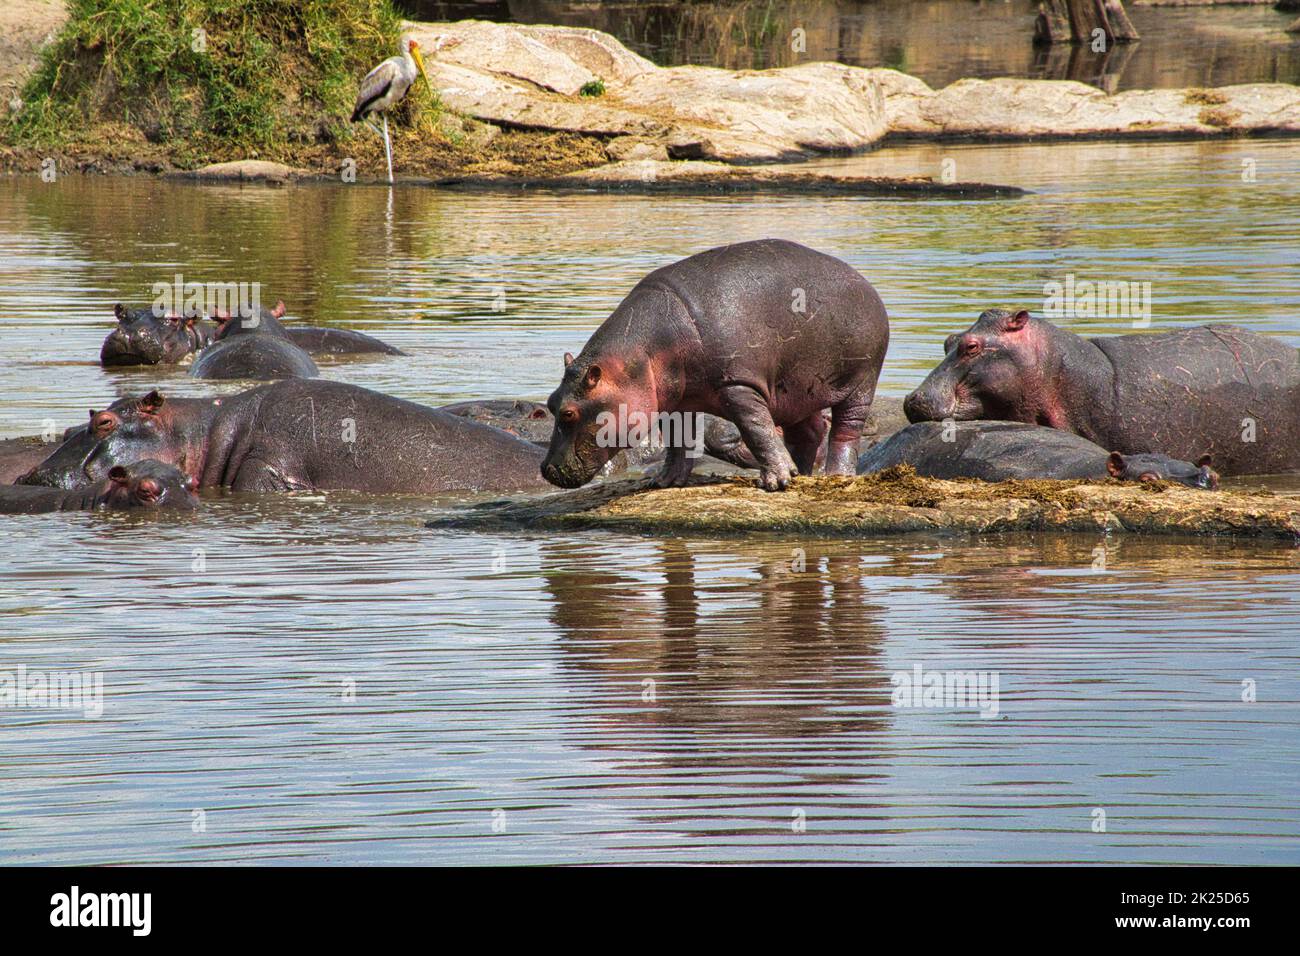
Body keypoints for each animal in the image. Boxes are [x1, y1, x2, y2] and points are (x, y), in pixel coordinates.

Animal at [542, 239, 890, 491]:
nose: (546, 470)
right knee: (809, 431)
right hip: (797, 388)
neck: (639, 356)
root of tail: (866, 283)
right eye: (550, 402)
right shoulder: (677, 401)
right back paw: (801, 474)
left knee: (846, 430)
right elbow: (677, 441)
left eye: (568, 413)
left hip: (861, 381)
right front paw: (663, 482)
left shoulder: (738, 385)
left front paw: (775, 482)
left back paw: (836, 476)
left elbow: (757, 429)